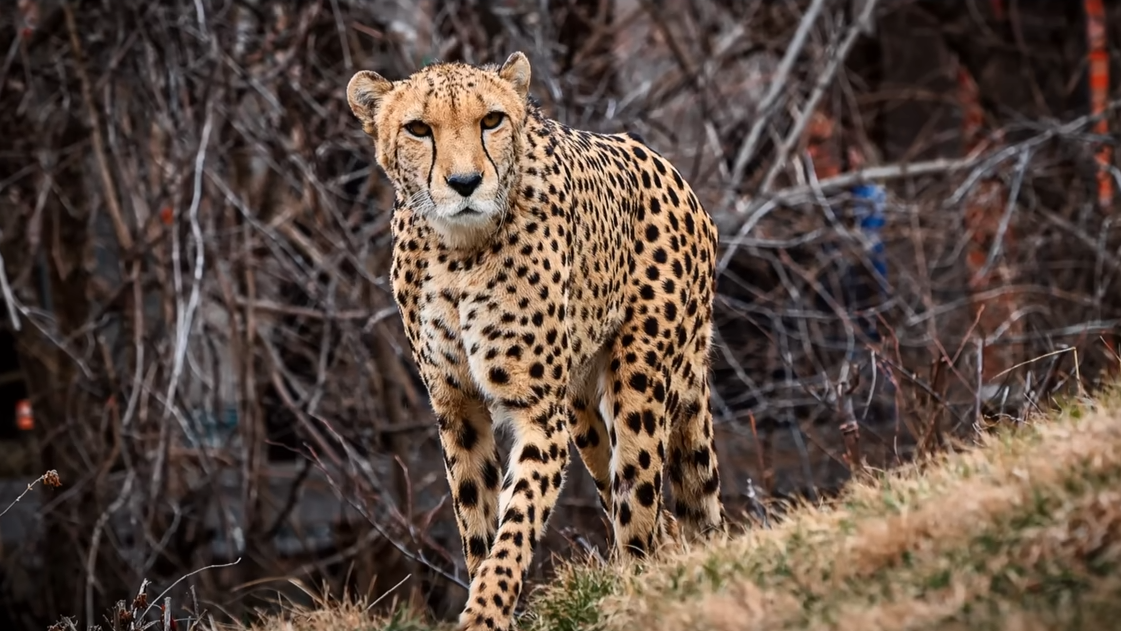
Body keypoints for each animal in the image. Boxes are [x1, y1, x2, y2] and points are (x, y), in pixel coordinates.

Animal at [346, 51, 727, 631]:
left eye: (491, 120)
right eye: (418, 129)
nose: (464, 182)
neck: (458, 253)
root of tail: (668, 169)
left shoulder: (536, 413)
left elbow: (517, 522)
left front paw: (486, 612)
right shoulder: (456, 405)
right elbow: (477, 518)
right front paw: (486, 594)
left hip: (641, 380)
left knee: (639, 503)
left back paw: (636, 590)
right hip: (582, 411)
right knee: (645, 506)